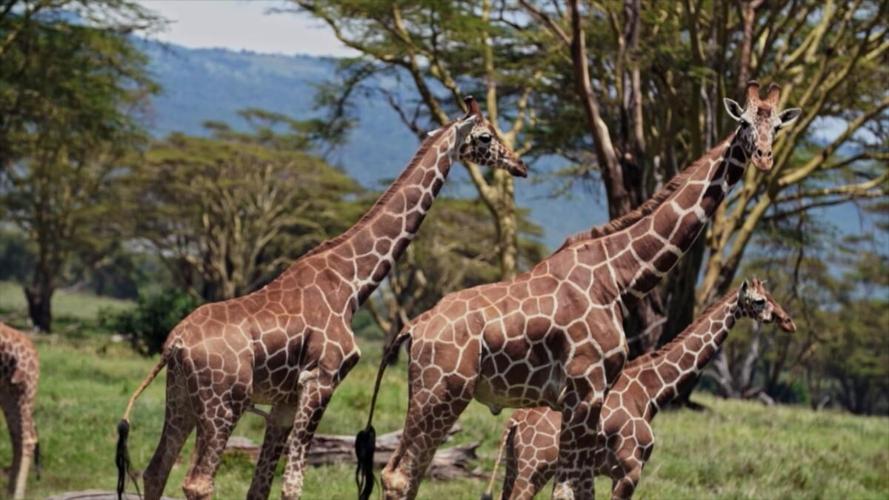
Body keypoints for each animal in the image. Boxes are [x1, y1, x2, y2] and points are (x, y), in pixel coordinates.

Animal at [114, 96, 528, 500]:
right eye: (486, 136)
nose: (519, 164)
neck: (351, 283)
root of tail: (176, 343)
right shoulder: (321, 380)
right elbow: (292, 486)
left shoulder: (284, 401)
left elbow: (259, 487)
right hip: (224, 401)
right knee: (197, 482)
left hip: (180, 396)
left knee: (155, 471)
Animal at [483, 278, 796, 500]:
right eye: (760, 301)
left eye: (773, 298)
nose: (788, 321)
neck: (650, 392)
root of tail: (513, 422)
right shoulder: (630, 471)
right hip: (532, 468)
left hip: (515, 466)